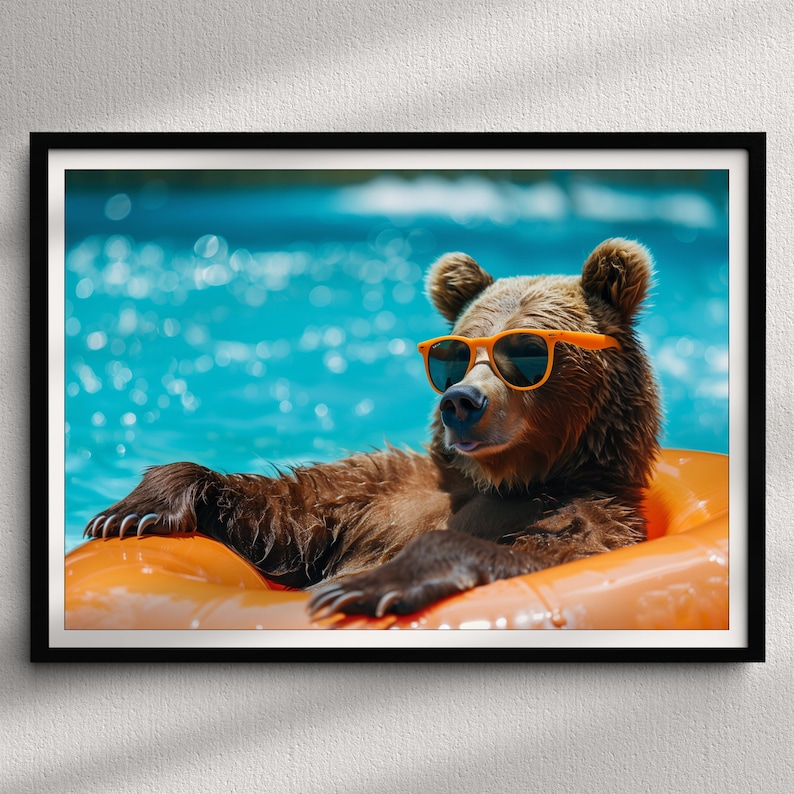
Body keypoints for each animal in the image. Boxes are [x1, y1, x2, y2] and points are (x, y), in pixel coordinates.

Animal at [83, 238, 661, 620]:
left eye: (525, 351)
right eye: (455, 353)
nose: (460, 401)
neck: (505, 477)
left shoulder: (589, 515)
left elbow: (551, 555)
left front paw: (368, 586)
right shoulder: (385, 491)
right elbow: (289, 519)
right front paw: (135, 509)